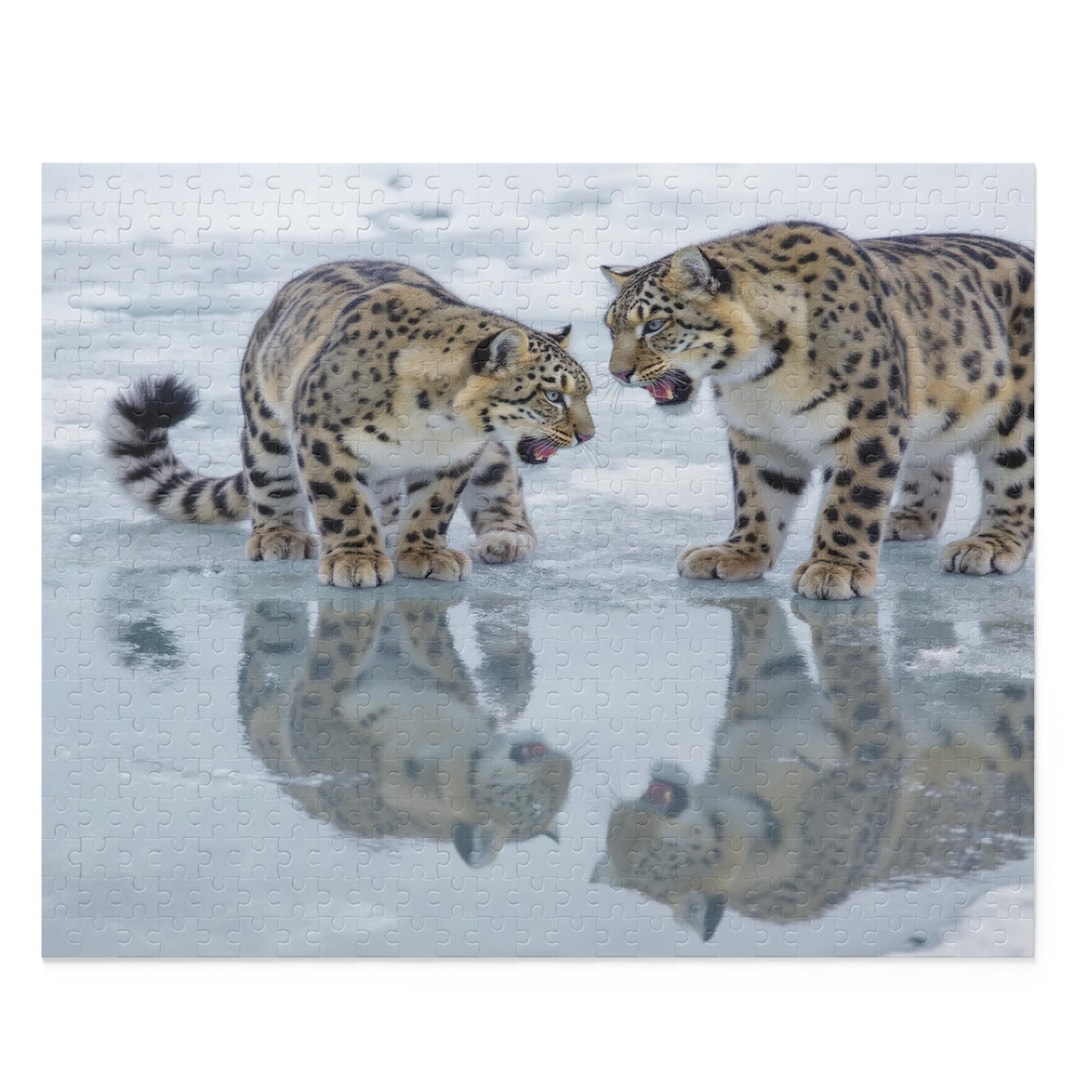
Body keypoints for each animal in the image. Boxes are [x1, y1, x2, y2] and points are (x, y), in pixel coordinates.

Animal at [107, 260, 595, 587]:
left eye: (586, 391)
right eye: (553, 394)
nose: (587, 435)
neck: (434, 425)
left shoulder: (457, 457)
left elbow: (434, 507)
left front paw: (425, 553)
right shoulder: (321, 438)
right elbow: (341, 503)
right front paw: (356, 561)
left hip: (489, 457)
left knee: (499, 489)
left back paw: (502, 540)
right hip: (266, 426)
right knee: (270, 482)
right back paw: (281, 537)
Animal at [239, 596, 571, 867]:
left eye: (535, 803)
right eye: (543, 799)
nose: (566, 764)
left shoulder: (313, 712)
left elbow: (336, 648)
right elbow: (432, 645)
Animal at [593, 599, 1033, 941]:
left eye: (625, 826)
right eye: (660, 856)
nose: (639, 808)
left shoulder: (770, 689)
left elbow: (759, 641)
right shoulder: (871, 753)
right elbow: (853, 679)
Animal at [603, 222, 1035, 599]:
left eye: (655, 324)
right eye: (611, 328)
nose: (618, 373)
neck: (760, 379)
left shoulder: (870, 423)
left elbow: (851, 501)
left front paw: (835, 570)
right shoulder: (757, 435)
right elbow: (757, 496)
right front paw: (739, 553)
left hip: (1019, 421)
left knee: (1013, 482)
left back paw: (988, 544)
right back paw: (908, 519)